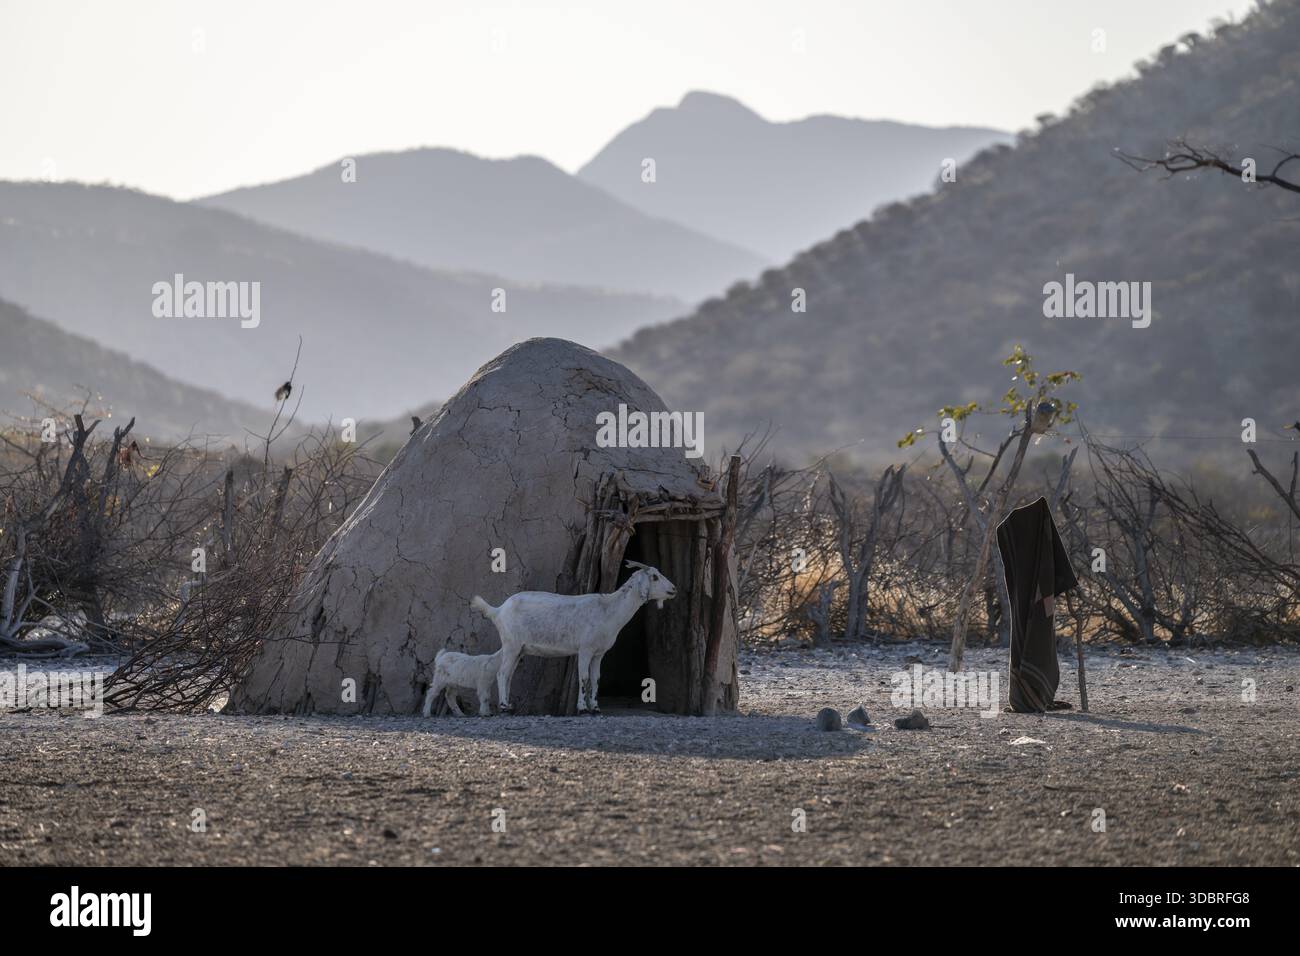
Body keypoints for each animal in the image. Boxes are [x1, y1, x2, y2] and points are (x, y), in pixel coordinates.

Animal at [472, 561, 677, 715]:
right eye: (654, 577)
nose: (674, 589)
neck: (608, 610)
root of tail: (498, 610)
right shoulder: (585, 649)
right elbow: (584, 678)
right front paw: (583, 709)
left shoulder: (599, 653)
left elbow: (596, 679)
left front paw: (596, 708)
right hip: (511, 644)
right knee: (502, 673)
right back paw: (504, 707)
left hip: (519, 649)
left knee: (509, 675)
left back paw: (509, 705)